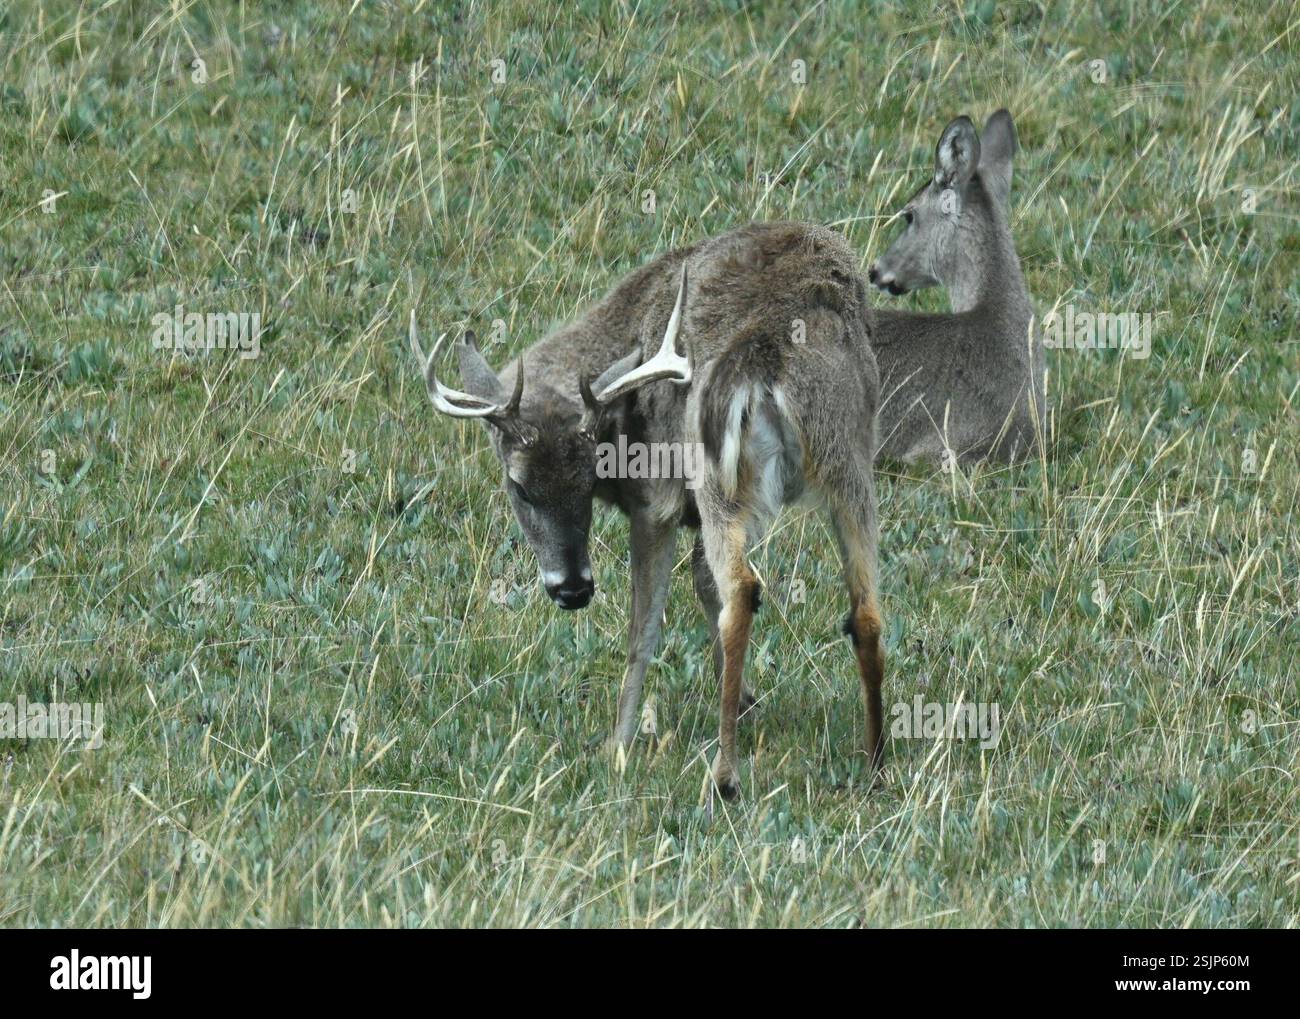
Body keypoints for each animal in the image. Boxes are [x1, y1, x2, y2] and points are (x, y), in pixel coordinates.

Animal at [410, 221, 885, 799]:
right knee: (864, 608)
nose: (573, 589)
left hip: (718, 475)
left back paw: (724, 777)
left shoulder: (655, 500)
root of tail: (771, 354)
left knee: (743, 591)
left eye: (591, 474)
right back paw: (875, 764)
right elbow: (702, 584)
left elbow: (644, 629)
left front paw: (617, 743)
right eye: (521, 487)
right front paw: (746, 702)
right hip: (850, 457)